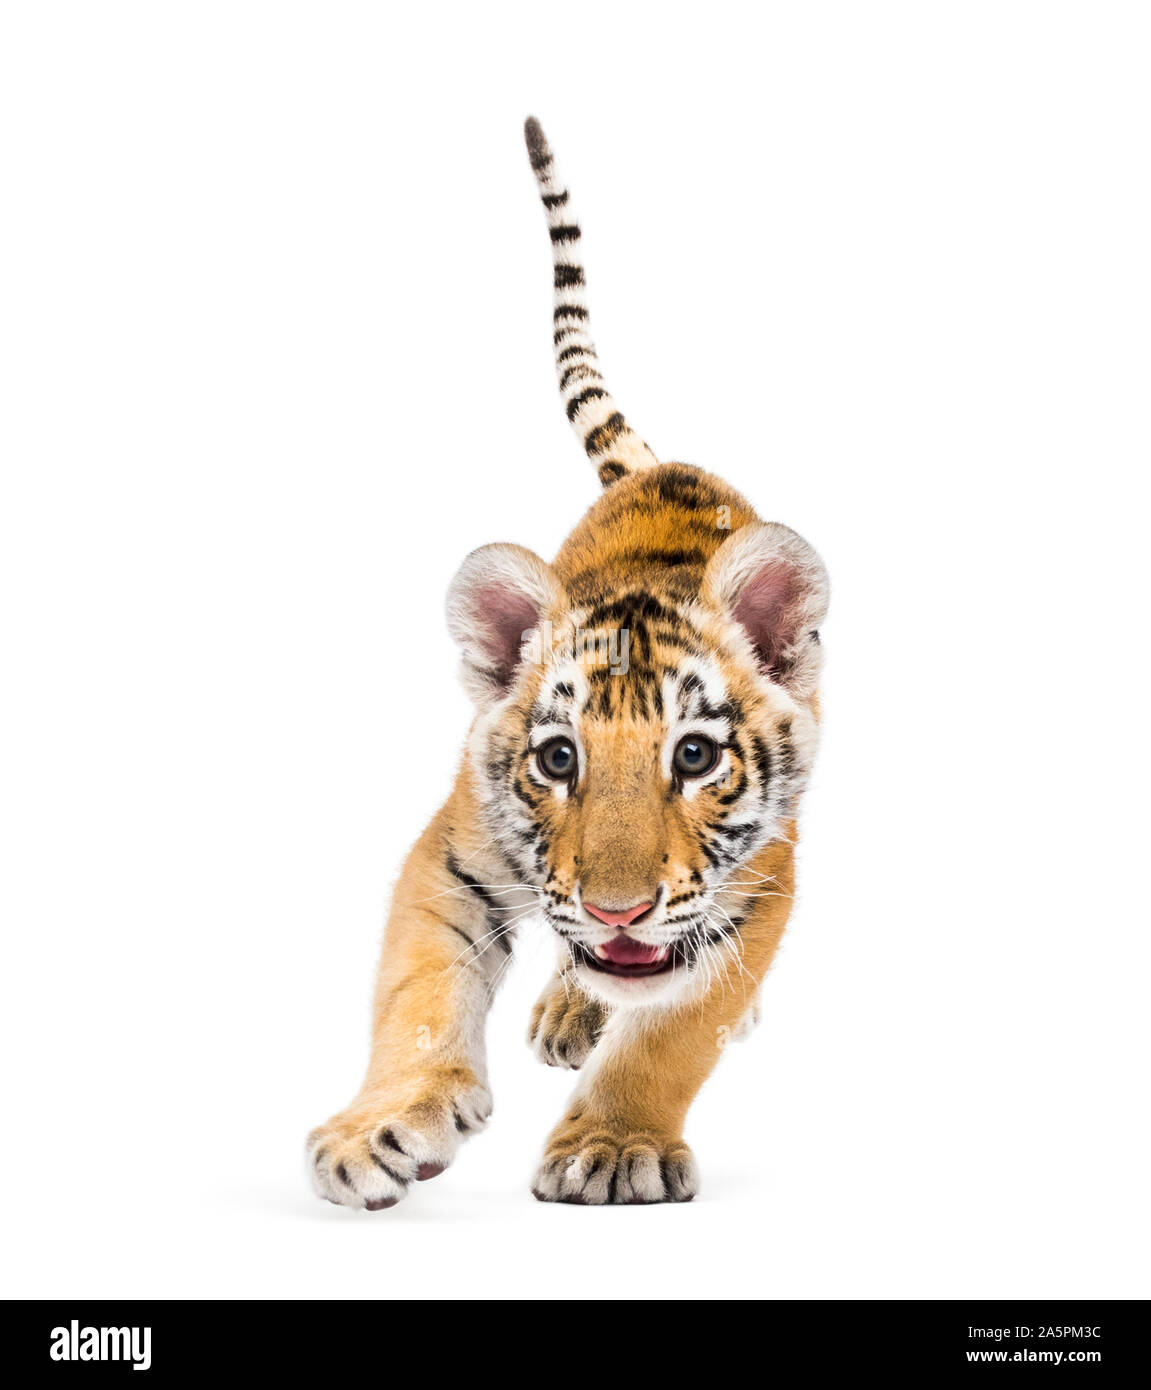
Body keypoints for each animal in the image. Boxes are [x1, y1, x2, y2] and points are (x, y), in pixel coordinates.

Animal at [307, 117, 829, 1207]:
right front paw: (376, 1130)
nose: (613, 906)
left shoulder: (761, 883)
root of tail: (670, 469)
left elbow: (677, 1026)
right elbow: (417, 990)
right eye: (557, 760)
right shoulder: (452, 855)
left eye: (693, 757)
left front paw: (614, 1144)